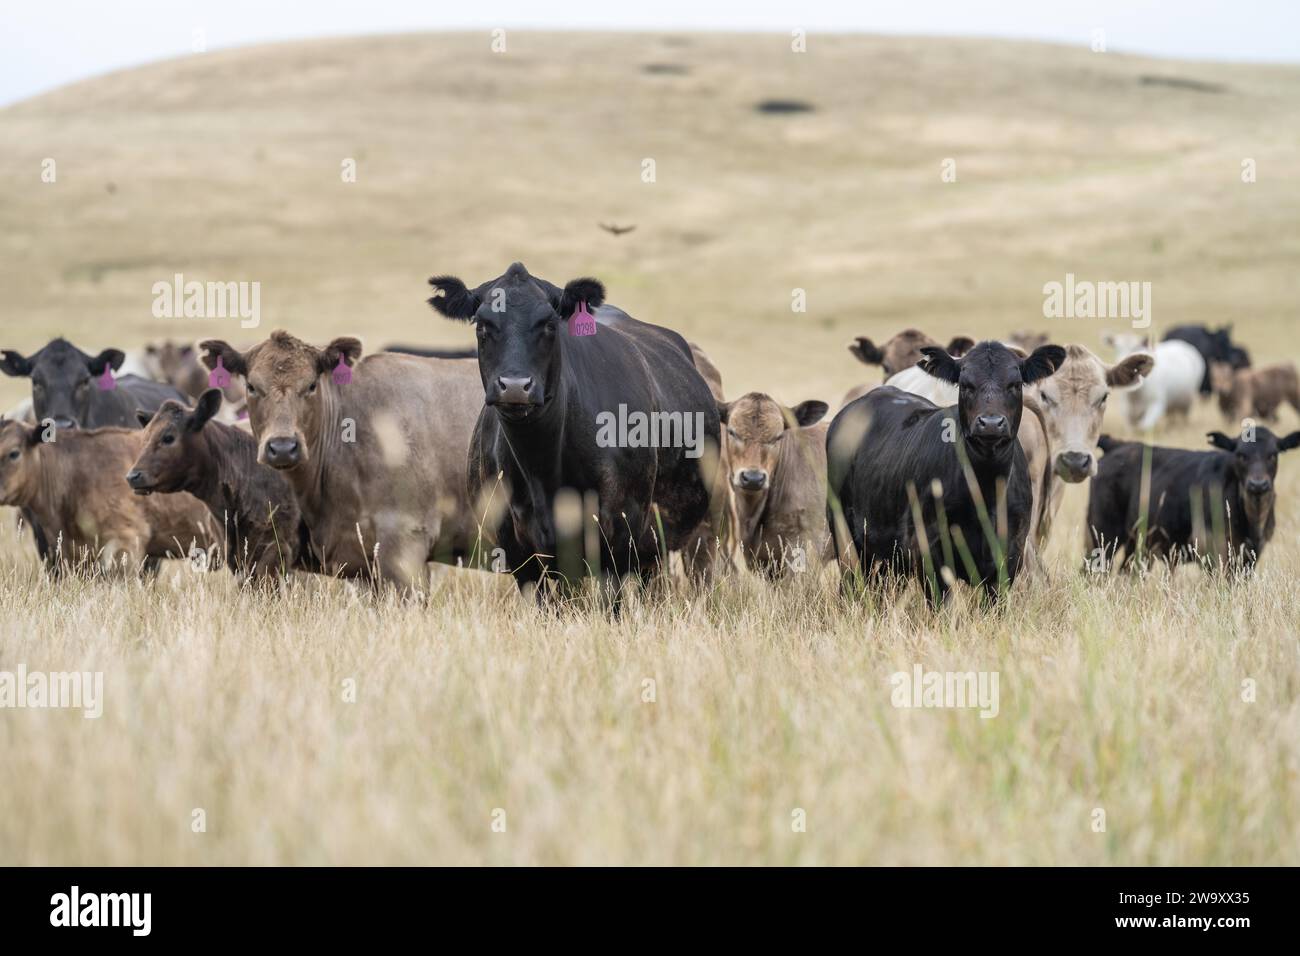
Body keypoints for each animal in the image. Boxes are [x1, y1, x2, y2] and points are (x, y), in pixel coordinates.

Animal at [427, 262, 721, 594]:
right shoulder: (518, 550)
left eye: (549, 324)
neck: (543, 468)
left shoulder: (620, 533)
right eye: (482, 325)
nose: (515, 386)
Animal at [827, 341, 1065, 604]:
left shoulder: (1011, 554)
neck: (985, 492)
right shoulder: (928, 551)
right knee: (853, 581)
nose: (991, 423)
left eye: (1015, 384)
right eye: (966, 384)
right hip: (845, 532)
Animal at [1088, 427, 1300, 573]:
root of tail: (1116, 445)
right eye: (1241, 455)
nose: (1258, 484)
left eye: (1273, 455)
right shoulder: (1214, 551)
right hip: (1103, 534)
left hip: (1137, 543)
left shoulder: (1251, 555)